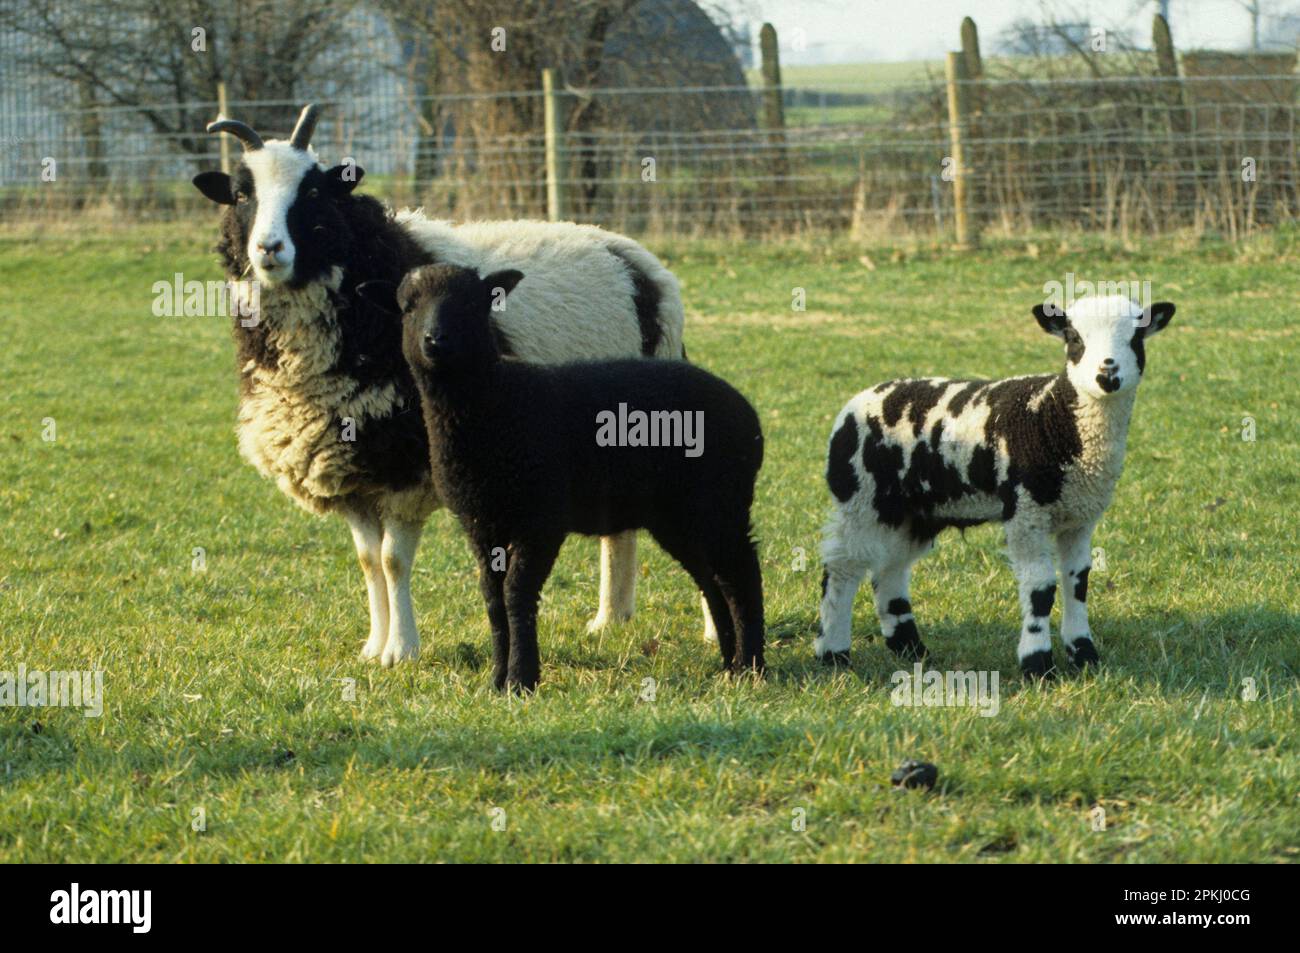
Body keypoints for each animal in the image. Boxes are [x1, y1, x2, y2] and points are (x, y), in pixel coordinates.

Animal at [190, 104, 694, 667]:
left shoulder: (409, 468)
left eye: (315, 192)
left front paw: (401, 650)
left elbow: (392, 561)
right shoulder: (352, 467)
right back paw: (611, 619)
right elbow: (367, 561)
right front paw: (373, 646)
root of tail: (630, 254)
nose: (269, 248)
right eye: (241, 194)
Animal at [396, 263, 766, 692]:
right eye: (408, 307)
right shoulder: (480, 524)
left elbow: (516, 594)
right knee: (711, 578)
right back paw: (730, 665)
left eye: (472, 304)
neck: (495, 400)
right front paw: (497, 679)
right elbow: (492, 598)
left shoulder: (541, 521)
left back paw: (752, 667)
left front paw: (522, 679)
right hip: (678, 517)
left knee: (740, 574)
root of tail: (749, 416)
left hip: (721, 502)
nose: (435, 339)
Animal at [815, 294, 1176, 677]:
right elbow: (1040, 587)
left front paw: (1084, 655)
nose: (1107, 375)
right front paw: (1037, 663)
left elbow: (1077, 581)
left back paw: (910, 649)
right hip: (861, 498)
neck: (1055, 414)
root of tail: (857, 402)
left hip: (912, 511)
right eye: (1074, 338)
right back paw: (833, 653)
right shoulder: (1026, 511)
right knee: (843, 568)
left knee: (889, 571)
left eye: (1136, 338)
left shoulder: (1079, 516)